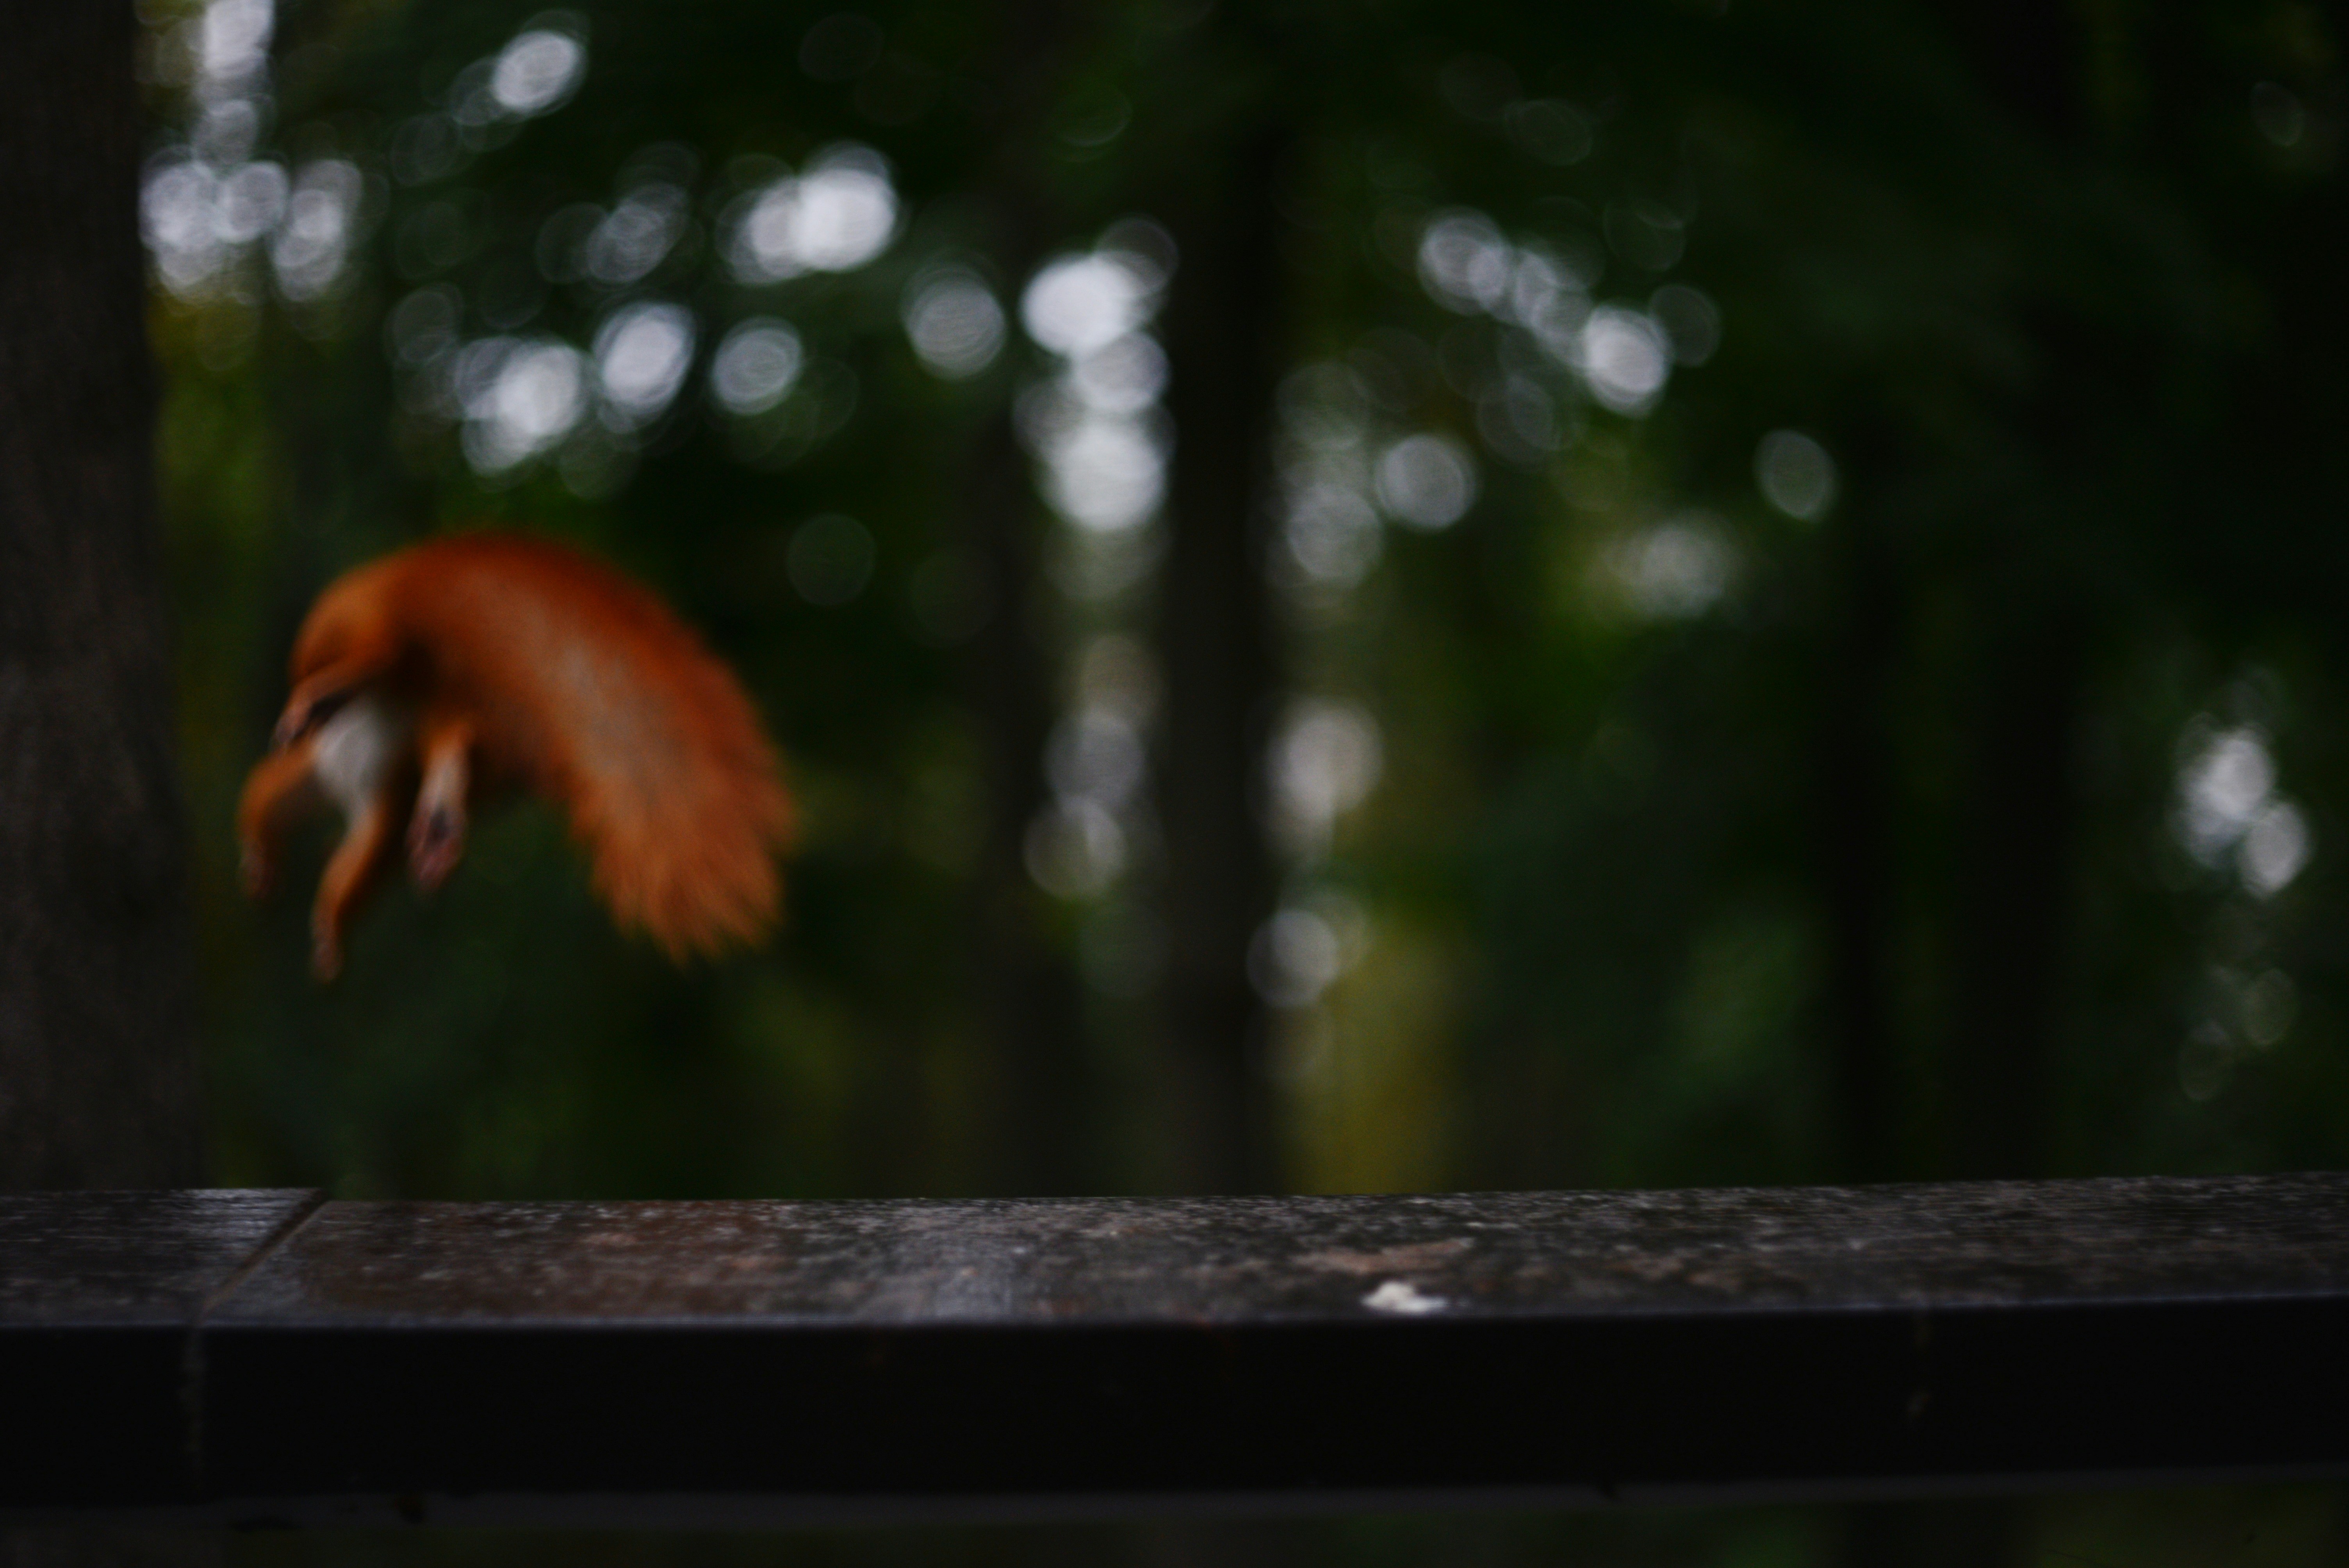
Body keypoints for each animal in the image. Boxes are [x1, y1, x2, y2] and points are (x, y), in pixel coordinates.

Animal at [238, 533, 794, 979]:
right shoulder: (336, 787)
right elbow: (272, 808)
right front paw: (269, 869)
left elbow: (277, 810)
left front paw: (286, 883)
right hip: (456, 736)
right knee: (448, 738)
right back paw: (436, 821)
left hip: (341, 626)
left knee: (380, 655)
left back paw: (338, 693)